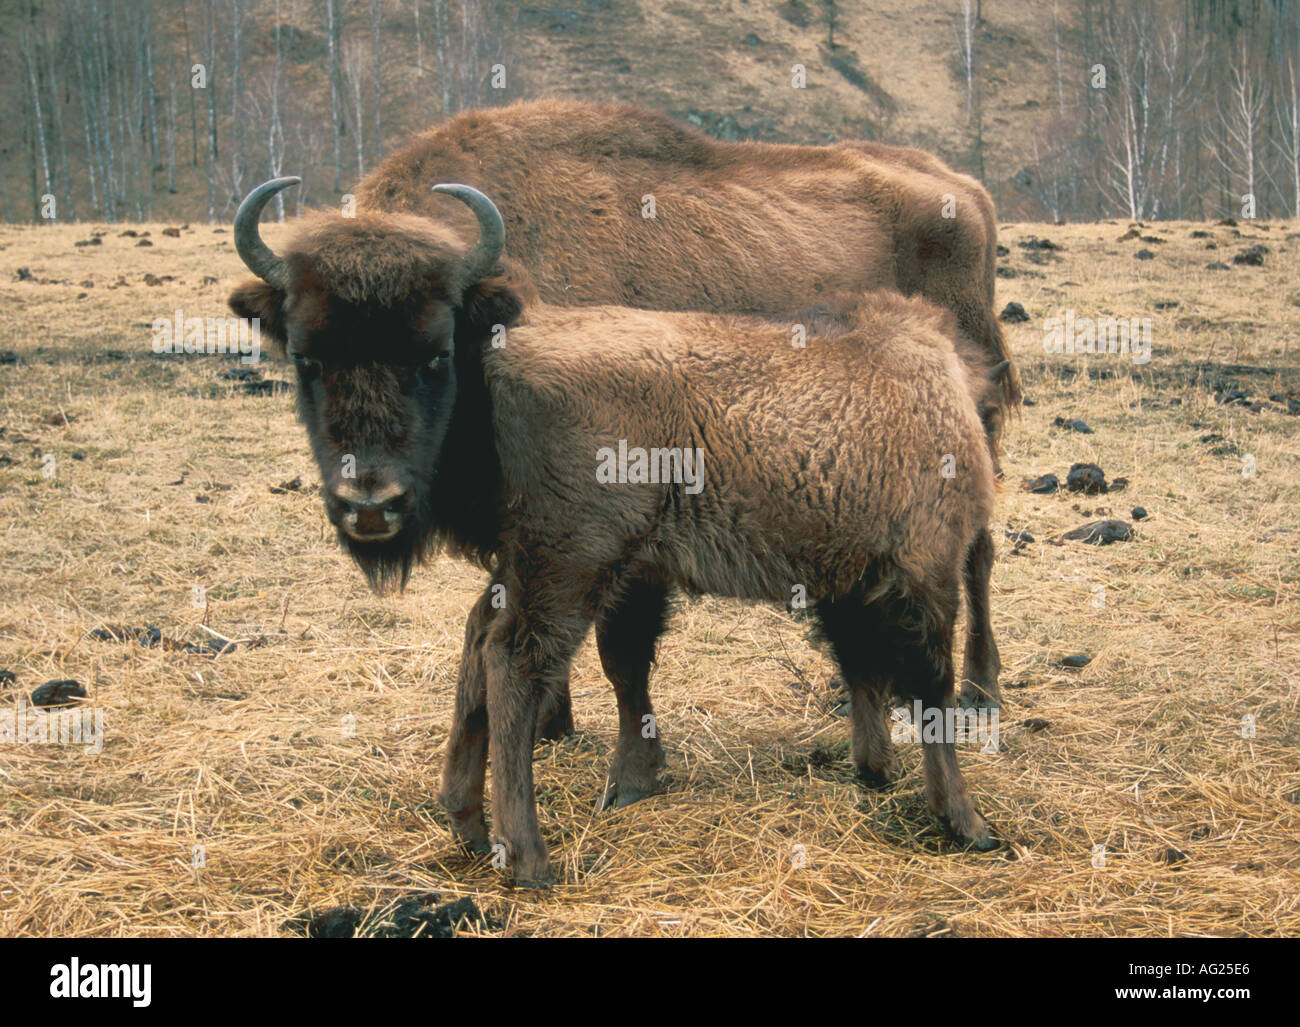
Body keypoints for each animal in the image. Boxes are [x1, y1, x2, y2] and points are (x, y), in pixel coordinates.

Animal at [228, 180, 1001, 886]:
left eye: (433, 356)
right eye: (307, 359)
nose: (369, 502)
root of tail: (509, 350)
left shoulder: (849, 578)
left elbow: (862, 668)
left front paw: (876, 772)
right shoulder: (925, 574)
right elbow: (929, 690)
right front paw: (966, 822)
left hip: (538, 563)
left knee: (480, 639)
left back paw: (468, 822)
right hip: (569, 565)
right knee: (516, 659)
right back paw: (529, 858)